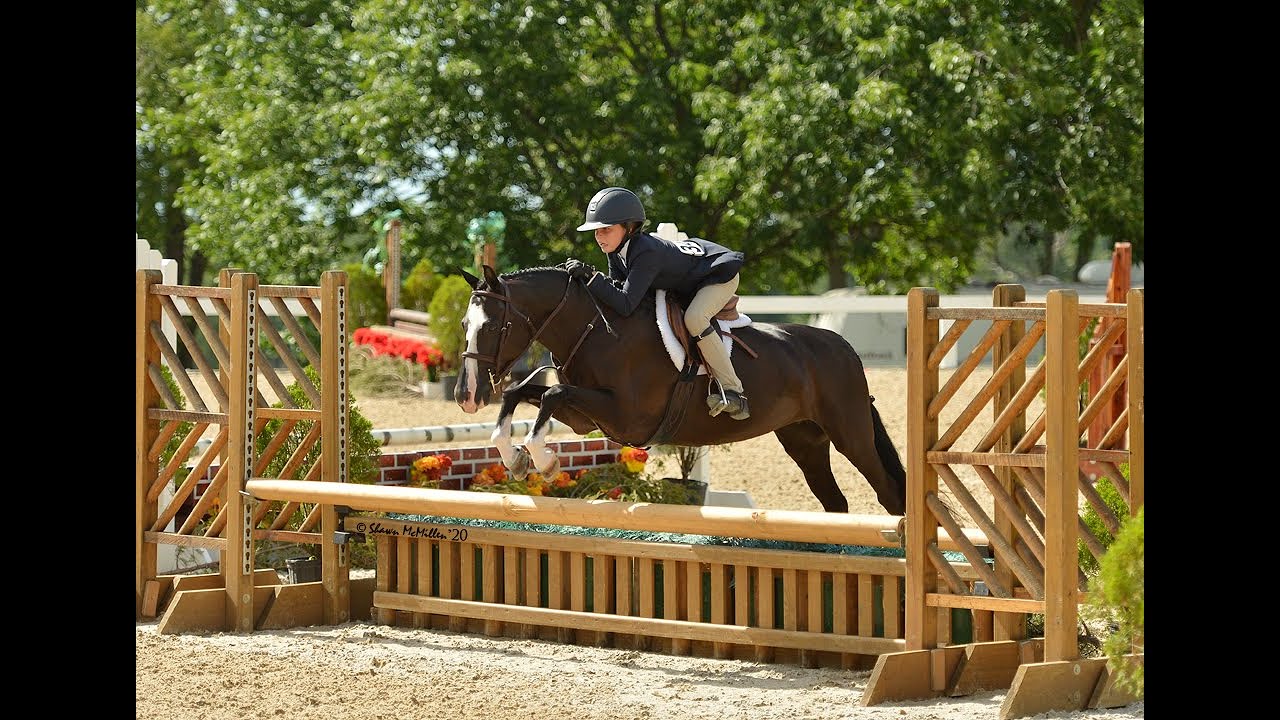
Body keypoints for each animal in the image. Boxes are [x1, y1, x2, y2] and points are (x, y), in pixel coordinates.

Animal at [454, 265, 907, 515]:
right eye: (464, 325)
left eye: (493, 325)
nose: (466, 395)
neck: (596, 331)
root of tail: (842, 346)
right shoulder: (585, 417)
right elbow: (522, 395)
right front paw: (515, 458)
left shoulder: (628, 419)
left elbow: (548, 396)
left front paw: (543, 462)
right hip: (804, 440)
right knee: (835, 503)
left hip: (850, 434)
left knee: (888, 493)